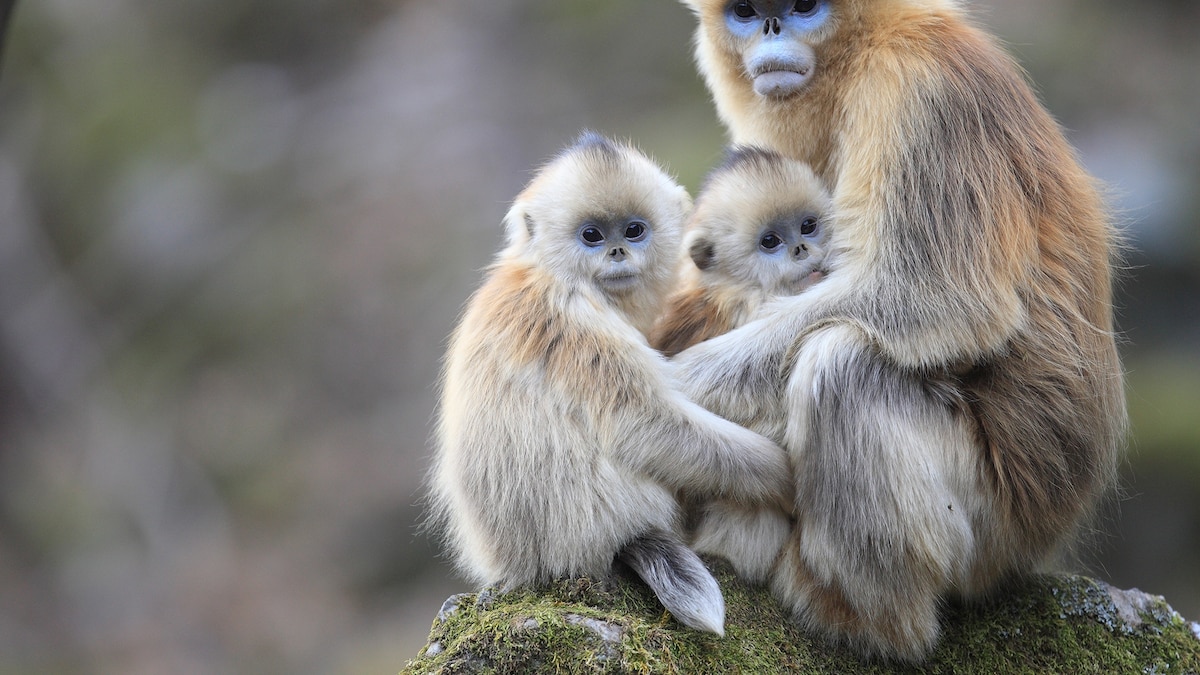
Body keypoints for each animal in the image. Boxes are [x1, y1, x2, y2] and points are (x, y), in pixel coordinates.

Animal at [428, 131, 794, 636]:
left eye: (634, 230)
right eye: (592, 236)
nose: (617, 252)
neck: (547, 272)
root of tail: (525, 564)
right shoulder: (575, 315)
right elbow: (645, 424)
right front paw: (788, 479)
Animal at [671, 0, 1126, 661]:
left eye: (802, 8)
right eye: (748, 14)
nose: (772, 29)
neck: (863, 54)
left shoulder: (921, 90)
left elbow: (937, 298)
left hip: (990, 528)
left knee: (842, 364)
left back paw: (866, 624)